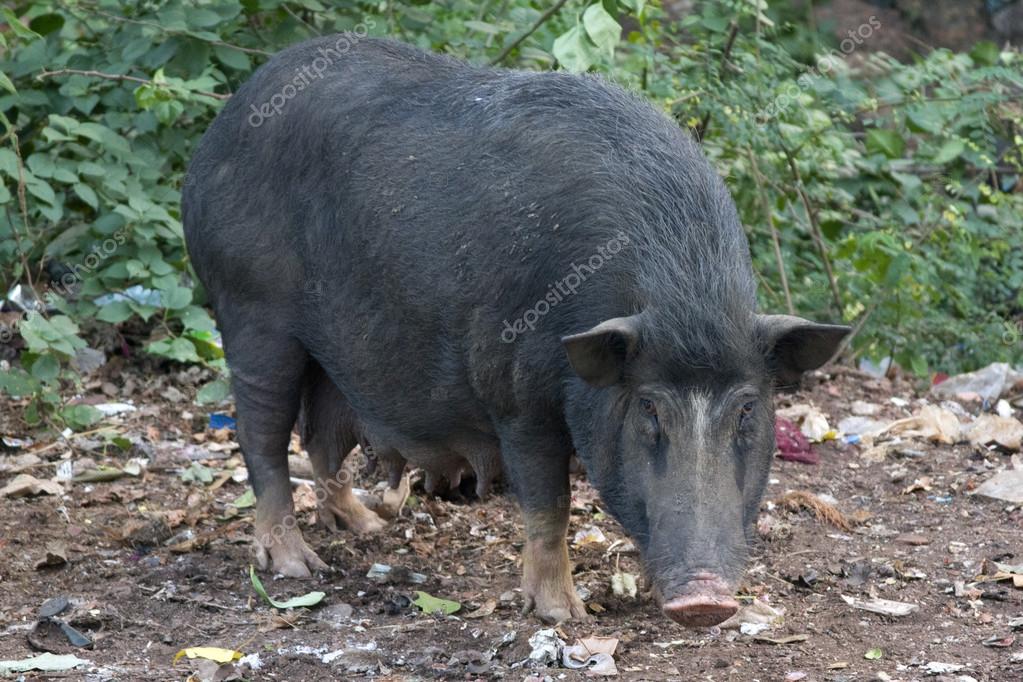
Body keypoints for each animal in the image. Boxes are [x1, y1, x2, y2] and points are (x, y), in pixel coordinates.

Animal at [182, 35, 849, 626]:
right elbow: (549, 503)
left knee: (322, 435)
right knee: (263, 434)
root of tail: (228, 116)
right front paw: (563, 614)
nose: (705, 601)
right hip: (251, 312)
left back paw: (368, 527)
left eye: (747, 410)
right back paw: (297, 567)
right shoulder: (515, 394)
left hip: (330, 355)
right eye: (649, 410)